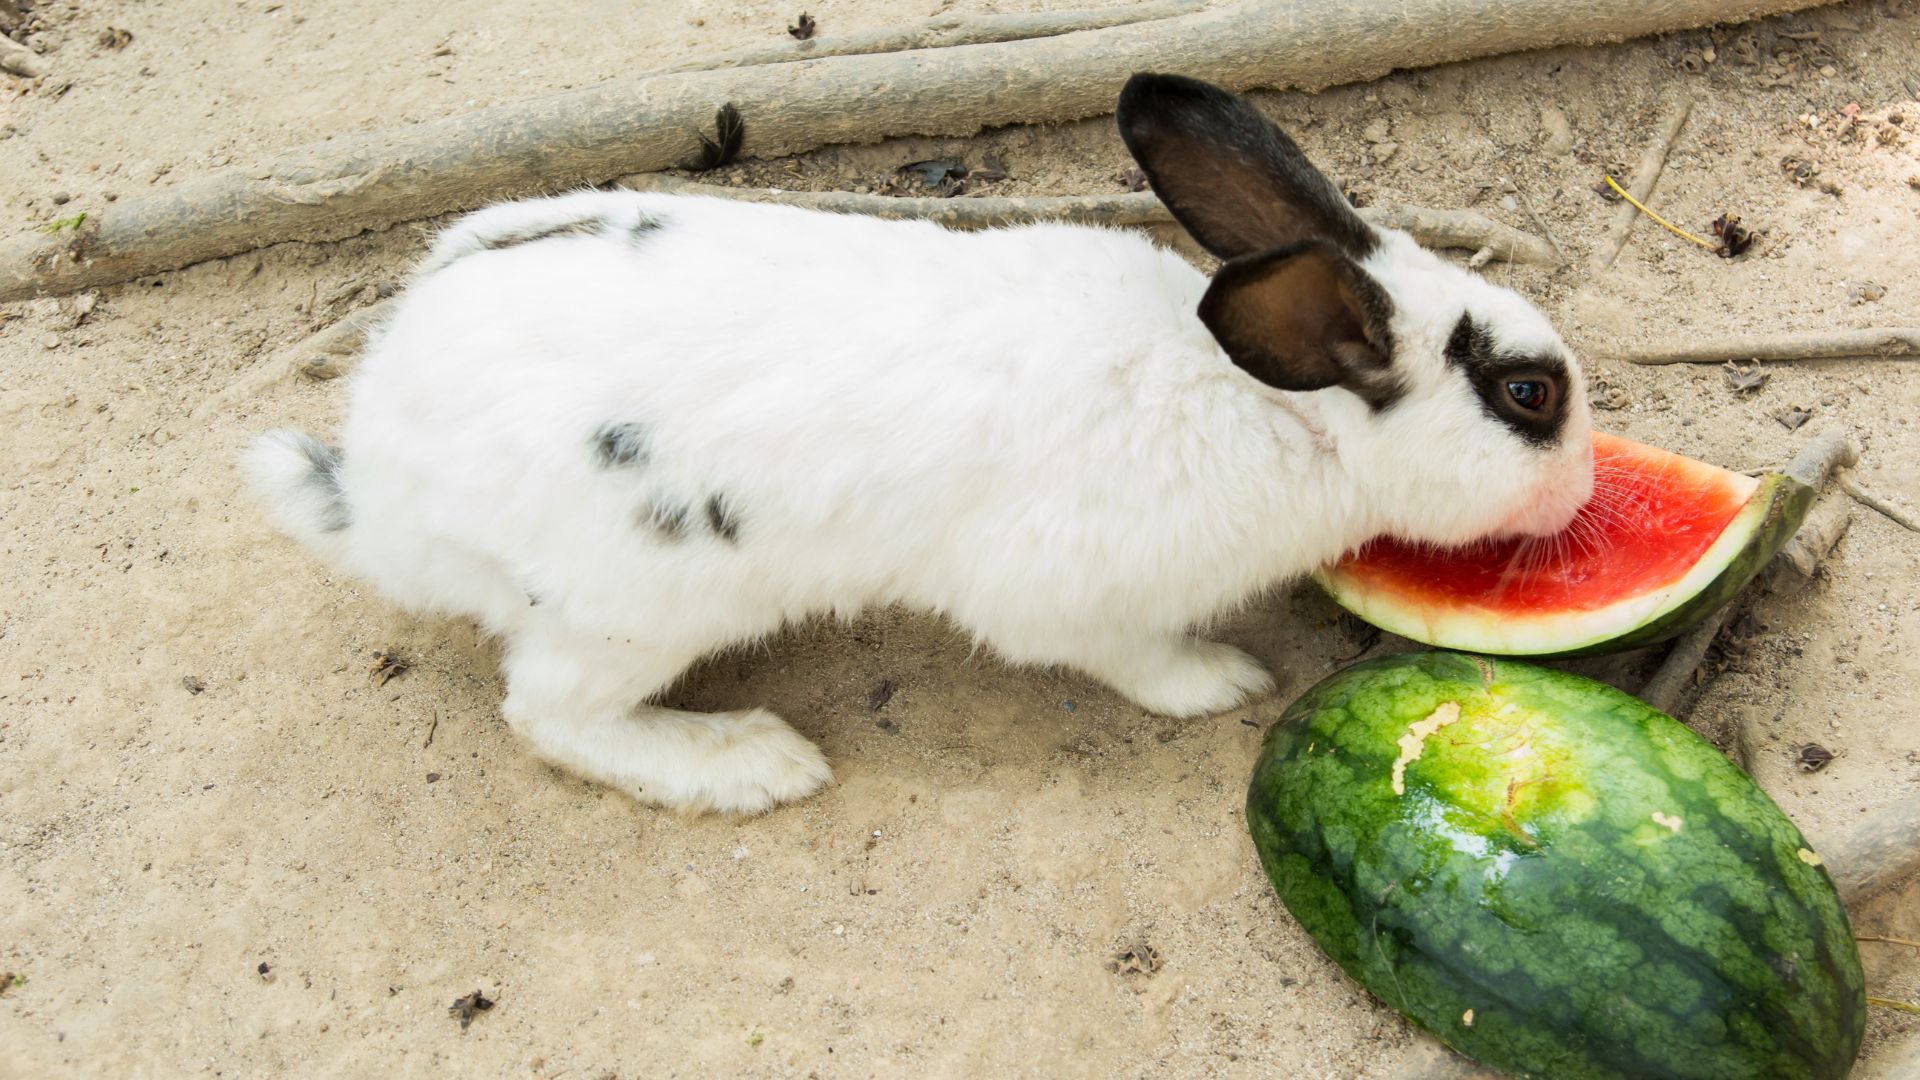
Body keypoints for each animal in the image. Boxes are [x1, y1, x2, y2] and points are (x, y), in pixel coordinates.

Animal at [245, 73, 1593, 814]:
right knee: (548, 716)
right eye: (1530, 395)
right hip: (636, 609)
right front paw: (1222, 682)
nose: (1587, 490)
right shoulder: (1072, 600)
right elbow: (1136, 660)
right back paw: (747, 765)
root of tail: (376, 488)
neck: (1266, 401)